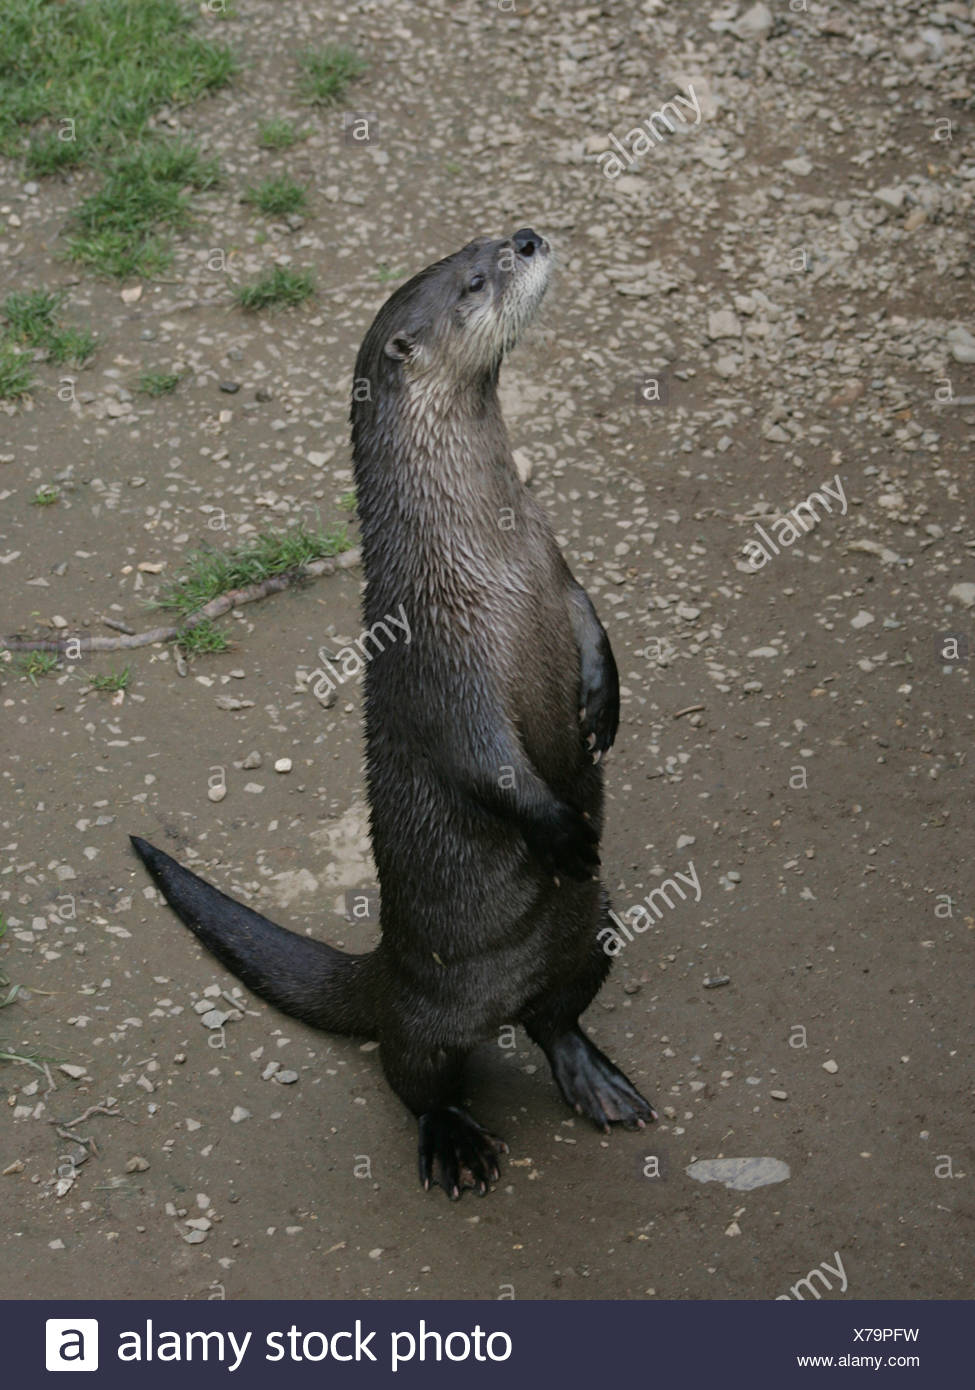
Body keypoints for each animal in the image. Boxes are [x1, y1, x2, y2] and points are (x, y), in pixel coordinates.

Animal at [130, 227, 656, 1199]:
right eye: (475, 281)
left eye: (489, 239)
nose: (527, 235)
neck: (485, 548)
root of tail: (387, 967)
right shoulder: (440, 660)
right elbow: (486, 762)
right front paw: (563, 831)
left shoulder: (556, 570)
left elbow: (591, 626)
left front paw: (603, 710)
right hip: (425, 1016)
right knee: (412, 1076)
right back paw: (455, 1144)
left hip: (594, 933)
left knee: (555, 1020)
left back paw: (594, 1080)